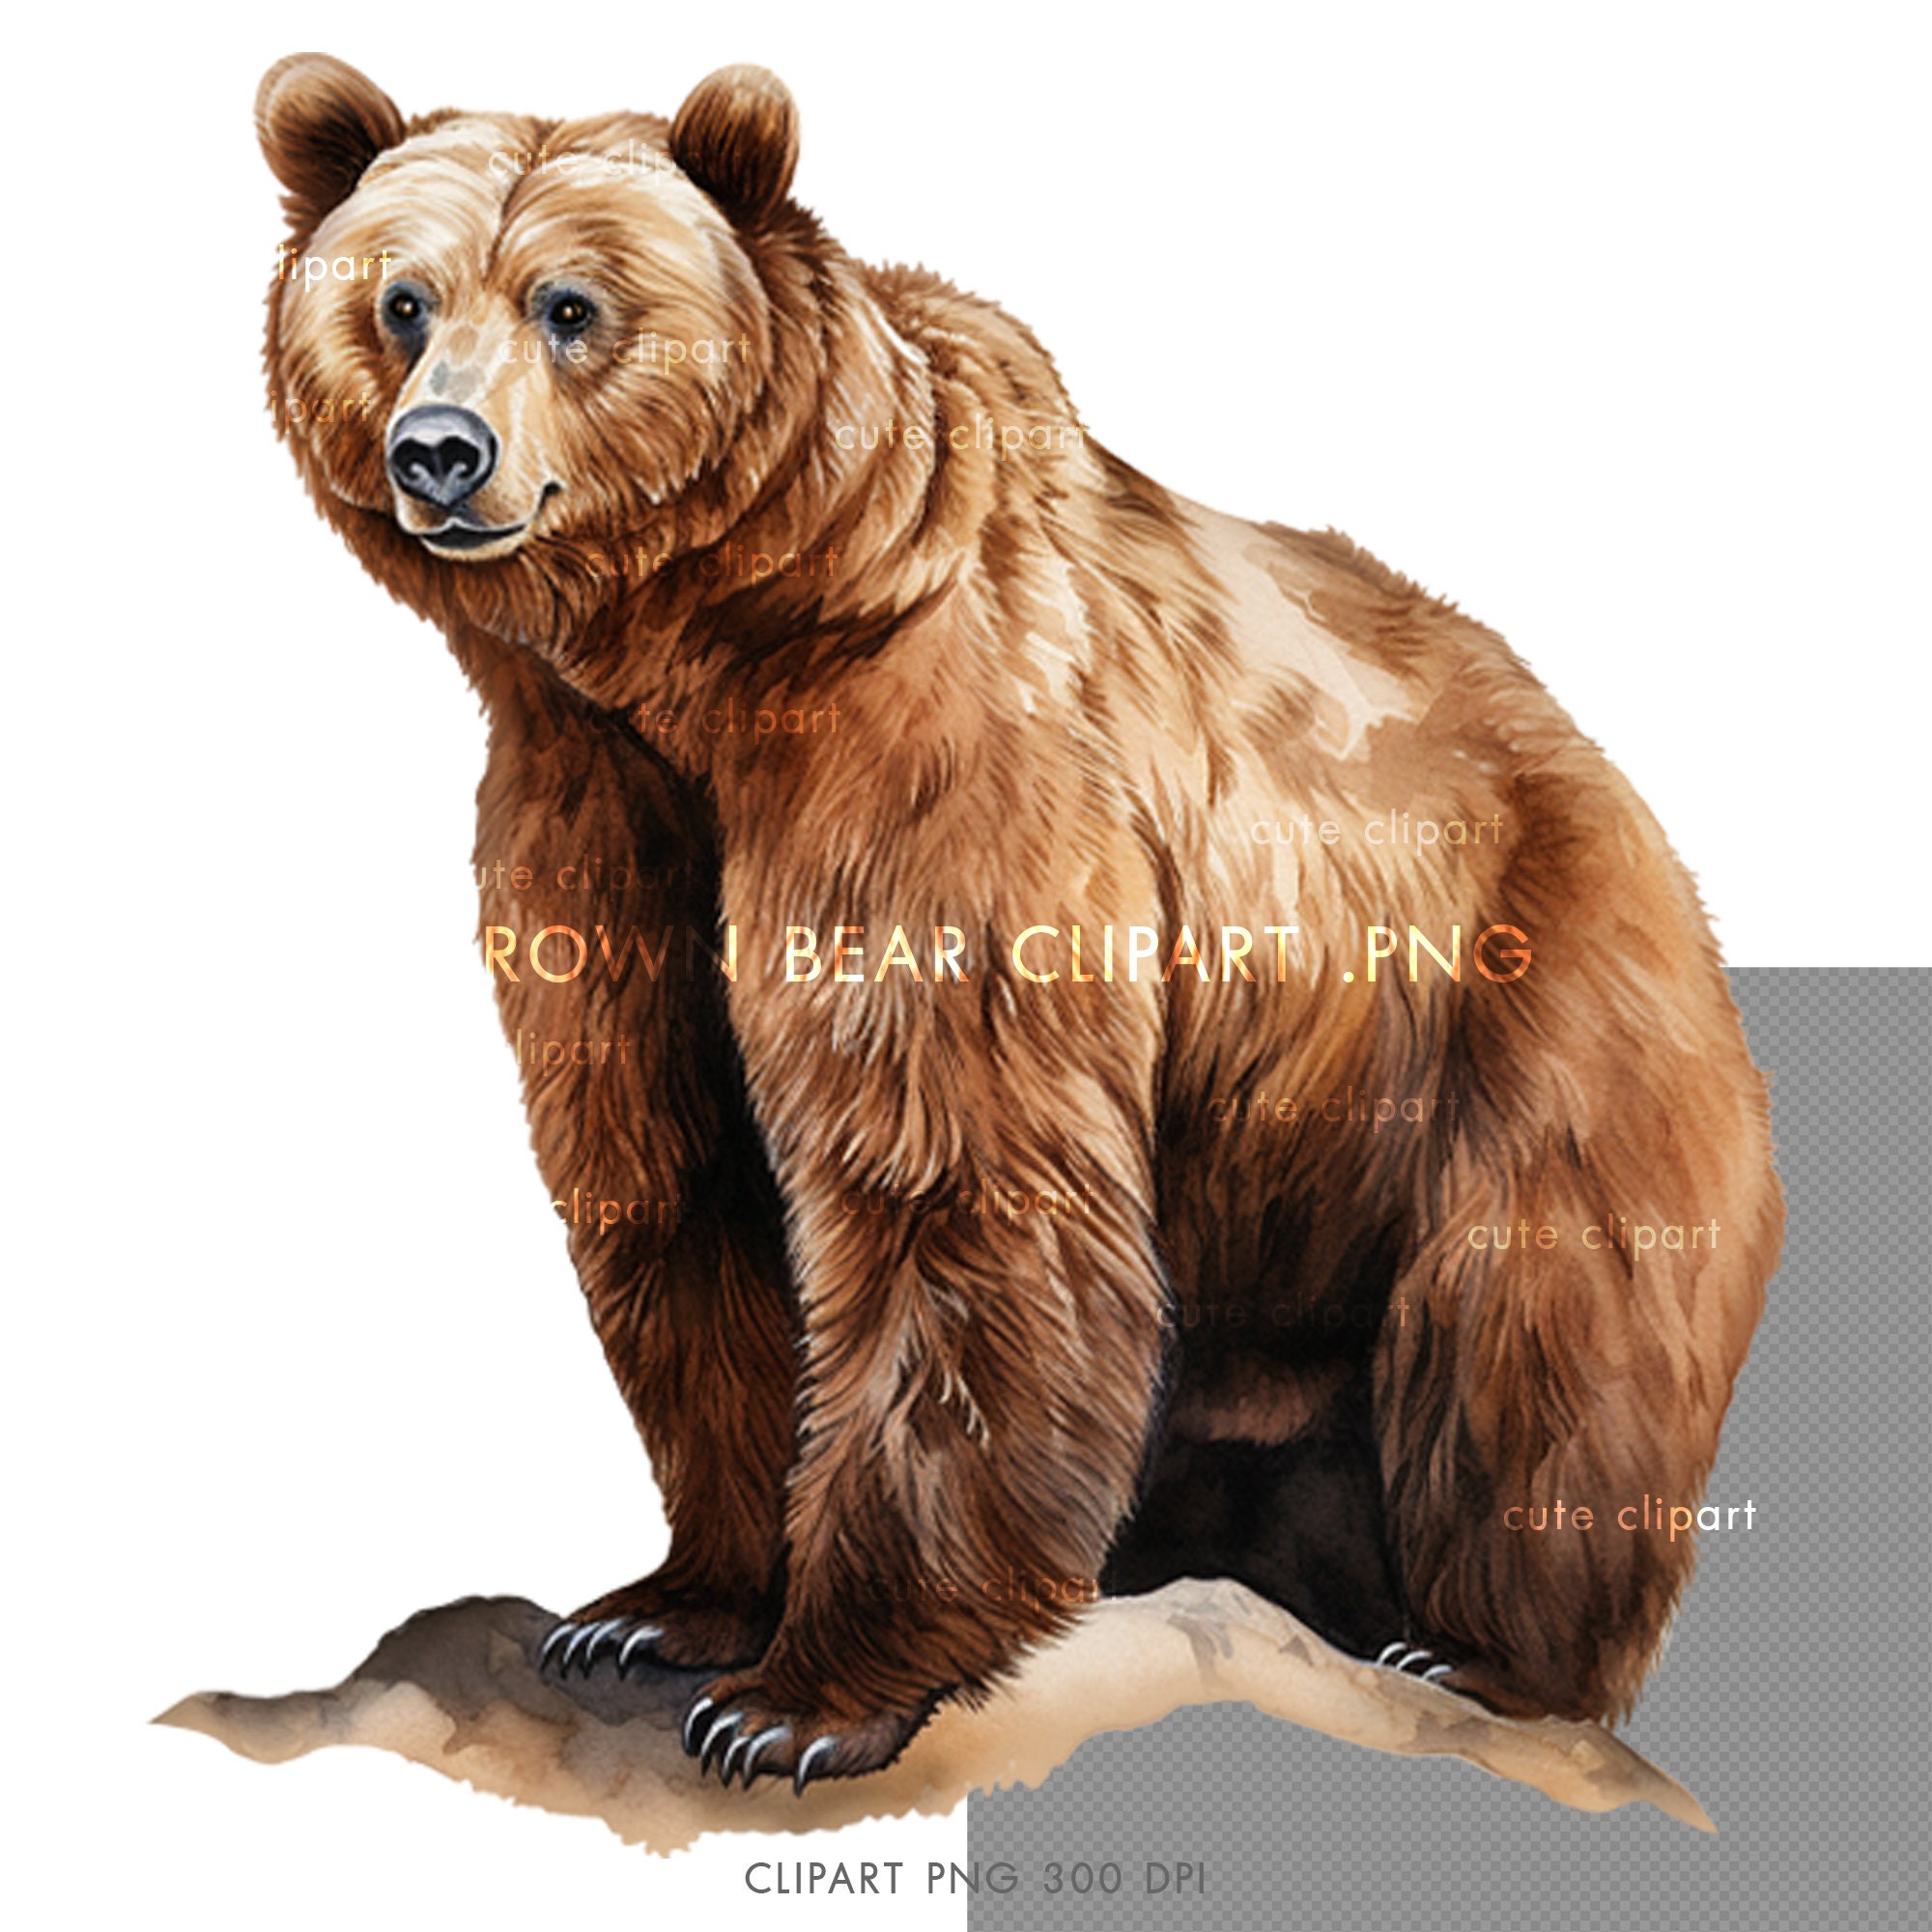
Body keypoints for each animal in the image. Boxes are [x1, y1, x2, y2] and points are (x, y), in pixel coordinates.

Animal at [256, 53, 1783, 1793]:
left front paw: (802, 1700)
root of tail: (1619, 796)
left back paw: (1477, 1655)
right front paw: (663, 1610)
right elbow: (678, 1176)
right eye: (401, 300)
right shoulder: (603, 817)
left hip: (1512, 1016)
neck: (709, 652)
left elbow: (943, 1175)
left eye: (571, 304)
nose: (441, 452)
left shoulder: (933, 752)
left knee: (1539, 1331)